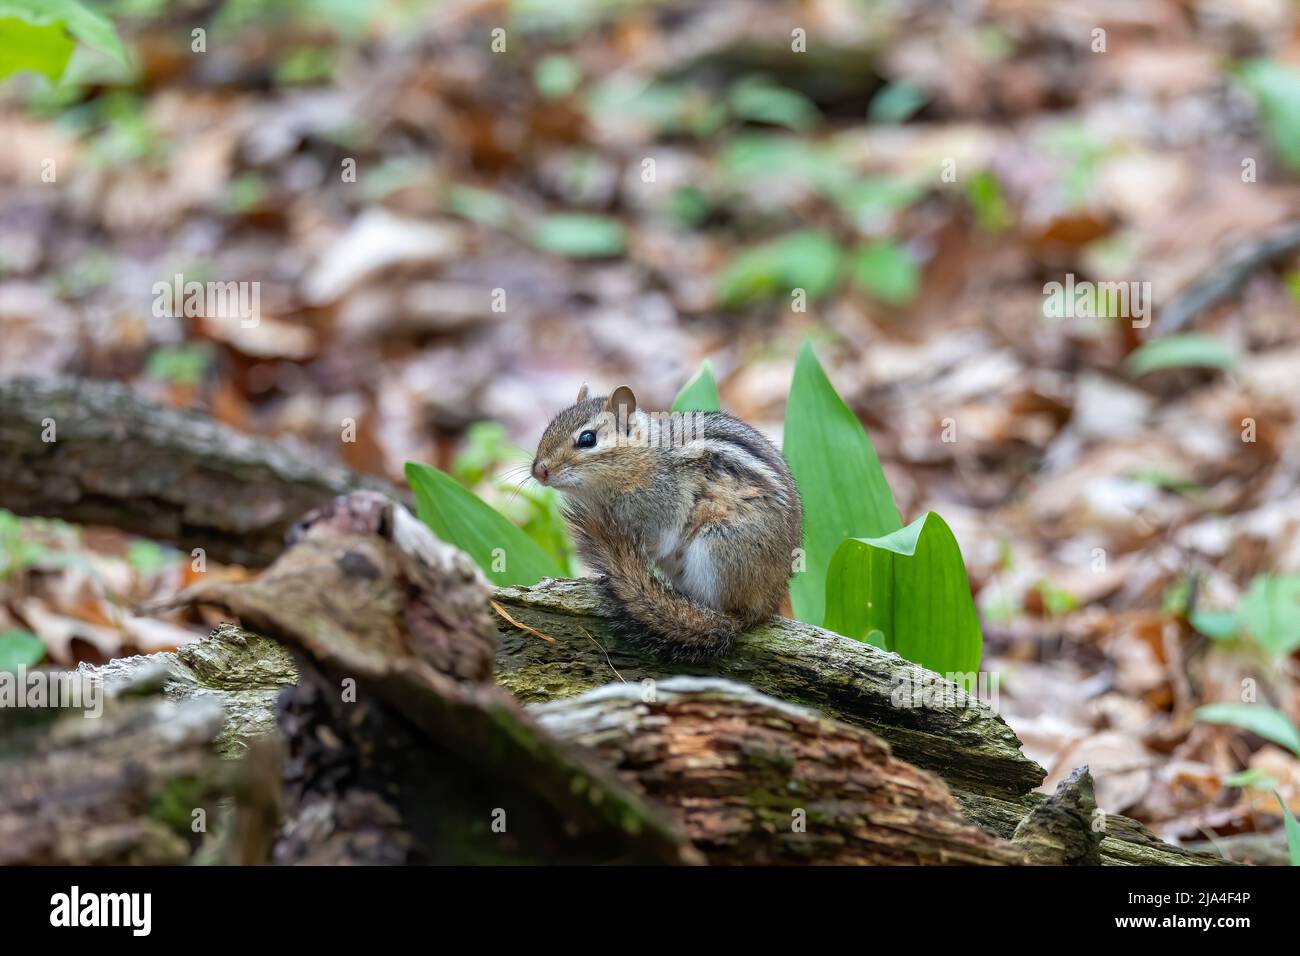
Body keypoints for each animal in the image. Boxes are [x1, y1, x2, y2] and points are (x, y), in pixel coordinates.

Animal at [531, 383, 803, 661]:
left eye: (587, 439)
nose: (538, 471)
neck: (644, 459)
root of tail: (766, 606)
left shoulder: (661, 510)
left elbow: (656, 544)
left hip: (718, 547)